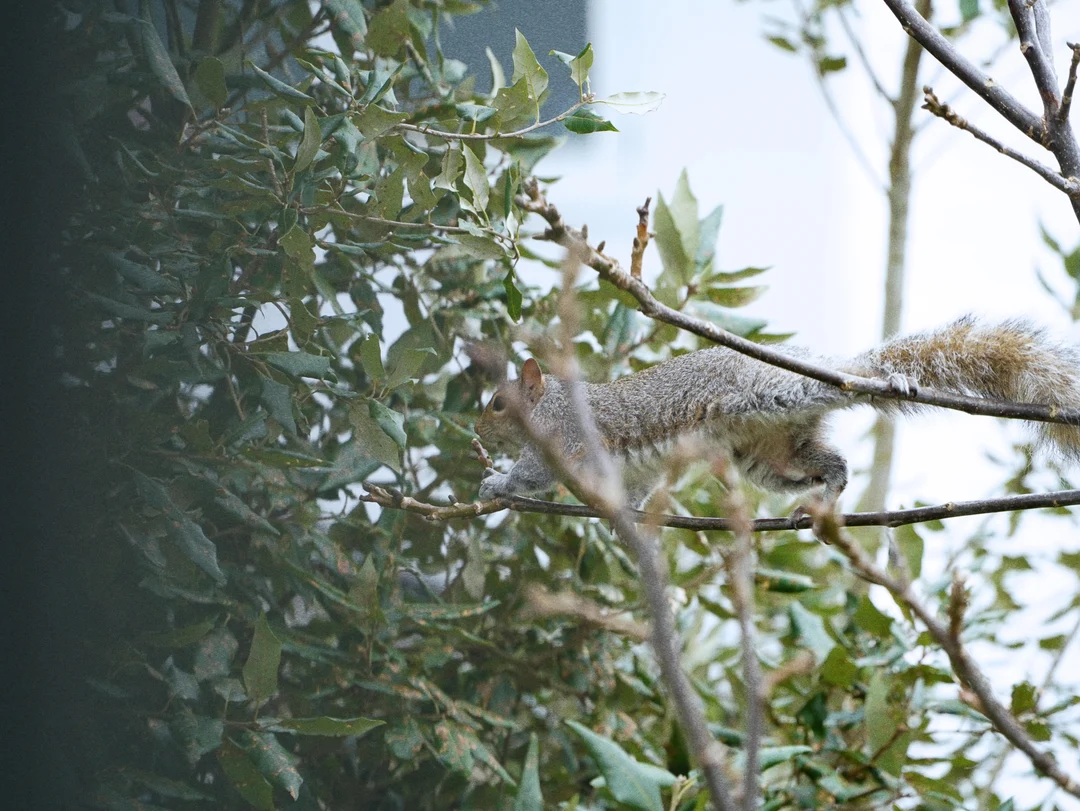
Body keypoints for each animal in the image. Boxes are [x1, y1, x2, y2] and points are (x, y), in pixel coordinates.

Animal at [475, 317, 1080, 508]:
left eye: (499, 404)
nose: (474, 428)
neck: (551, 401)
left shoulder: (560, 438)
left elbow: (533, 473)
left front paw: (496, 483)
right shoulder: (631, 470)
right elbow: (632, 494)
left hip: (770, 394)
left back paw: (886, 379)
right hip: (770, 458)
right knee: (829, 464)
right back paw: (822, 496)